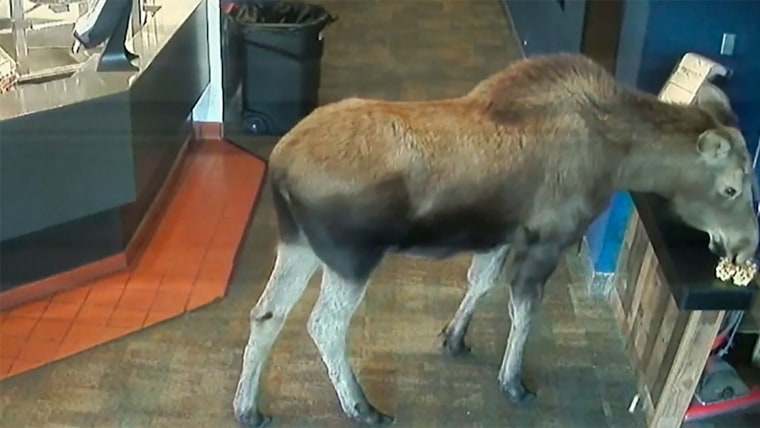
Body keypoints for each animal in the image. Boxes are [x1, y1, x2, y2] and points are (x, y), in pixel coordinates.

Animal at [232, 53, 759, 428]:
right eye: (733, 187)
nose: (746, 245)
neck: (621, 158)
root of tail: (279, 166)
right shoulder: (547, 239)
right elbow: (522, 311)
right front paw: (513, 382)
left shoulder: (503, 234)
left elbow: (480, 281)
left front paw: (455, 336)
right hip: (351, 255)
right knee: (324, 324)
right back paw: (361, 407)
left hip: (297, 242)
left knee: (266, 313)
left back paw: (248, 408)